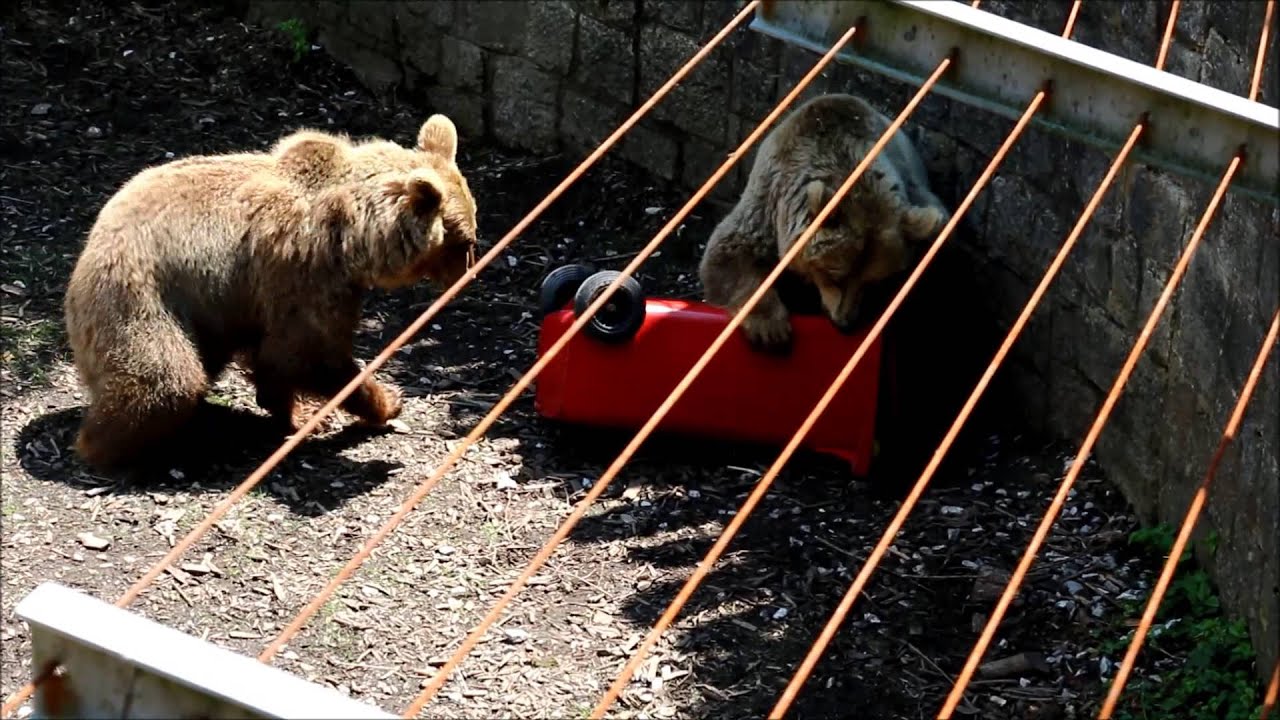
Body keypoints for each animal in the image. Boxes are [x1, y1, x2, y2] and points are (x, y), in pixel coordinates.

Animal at [63, 114, 479, 473]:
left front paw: (295, 413)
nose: (469, 273)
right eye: (463, 242)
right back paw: (105, 448)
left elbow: (276, 358)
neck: (351, 236)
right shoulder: (304, 271)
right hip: (140, 300)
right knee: (165, 381)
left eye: (472, 233)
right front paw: (387, 402)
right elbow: (311, 354)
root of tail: (86, 252)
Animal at [698, 93, 951, 353]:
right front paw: (770, 329)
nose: (845, 323)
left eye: (872, 282)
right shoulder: (771, 196)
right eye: (834, 277)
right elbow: (732, 249)